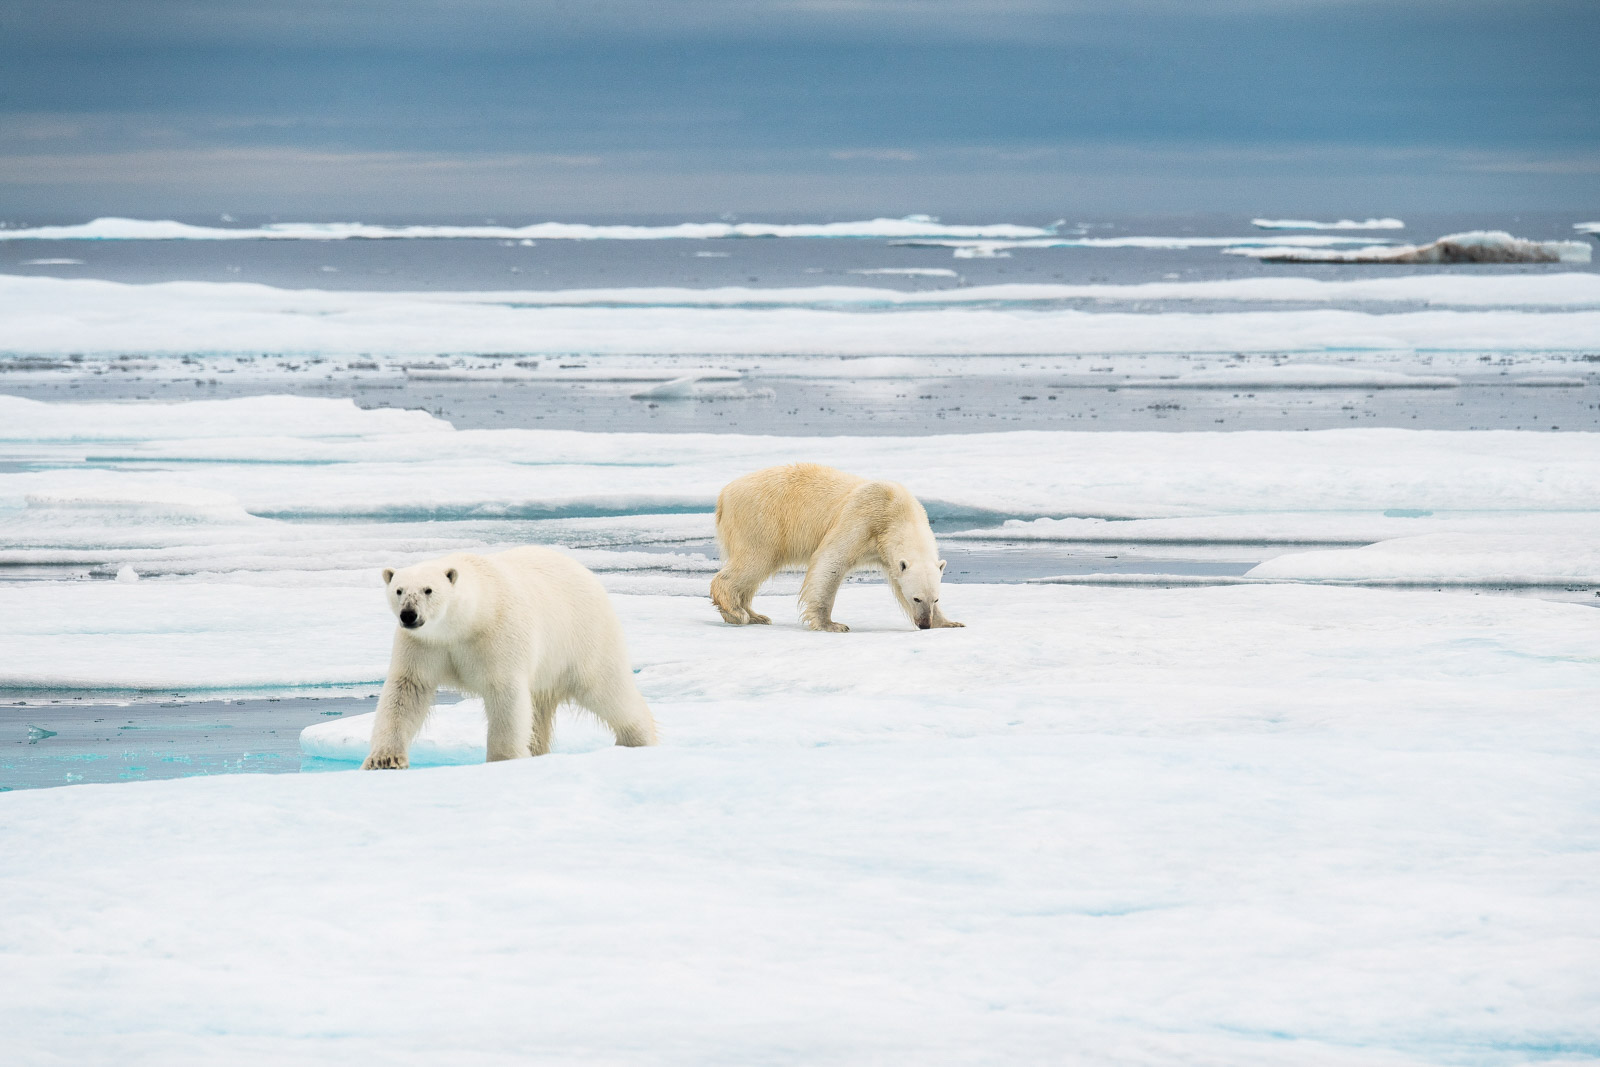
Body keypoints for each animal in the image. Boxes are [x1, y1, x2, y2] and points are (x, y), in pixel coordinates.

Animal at [362, 546, 657, 770]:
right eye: (399, 590)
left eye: (428, 590)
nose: (409, 615)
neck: (467, 621)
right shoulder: (424, 644)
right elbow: (407, 689)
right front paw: (384, 760)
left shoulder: (498, 635)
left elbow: (505, 694)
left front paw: (502, 759)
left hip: (584, 639)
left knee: (607, 690)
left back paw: (639, 739)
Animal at [710, 463, 964, 633]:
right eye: (917, 598)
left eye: (935, 599)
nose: (924, 624)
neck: (895, 510)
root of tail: (724, 494)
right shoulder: (863, 518)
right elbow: (830, 561)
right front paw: (832, 624)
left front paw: (950, 622)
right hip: (762, 520)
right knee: (755, 561)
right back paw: (736, 612)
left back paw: (755, 615)